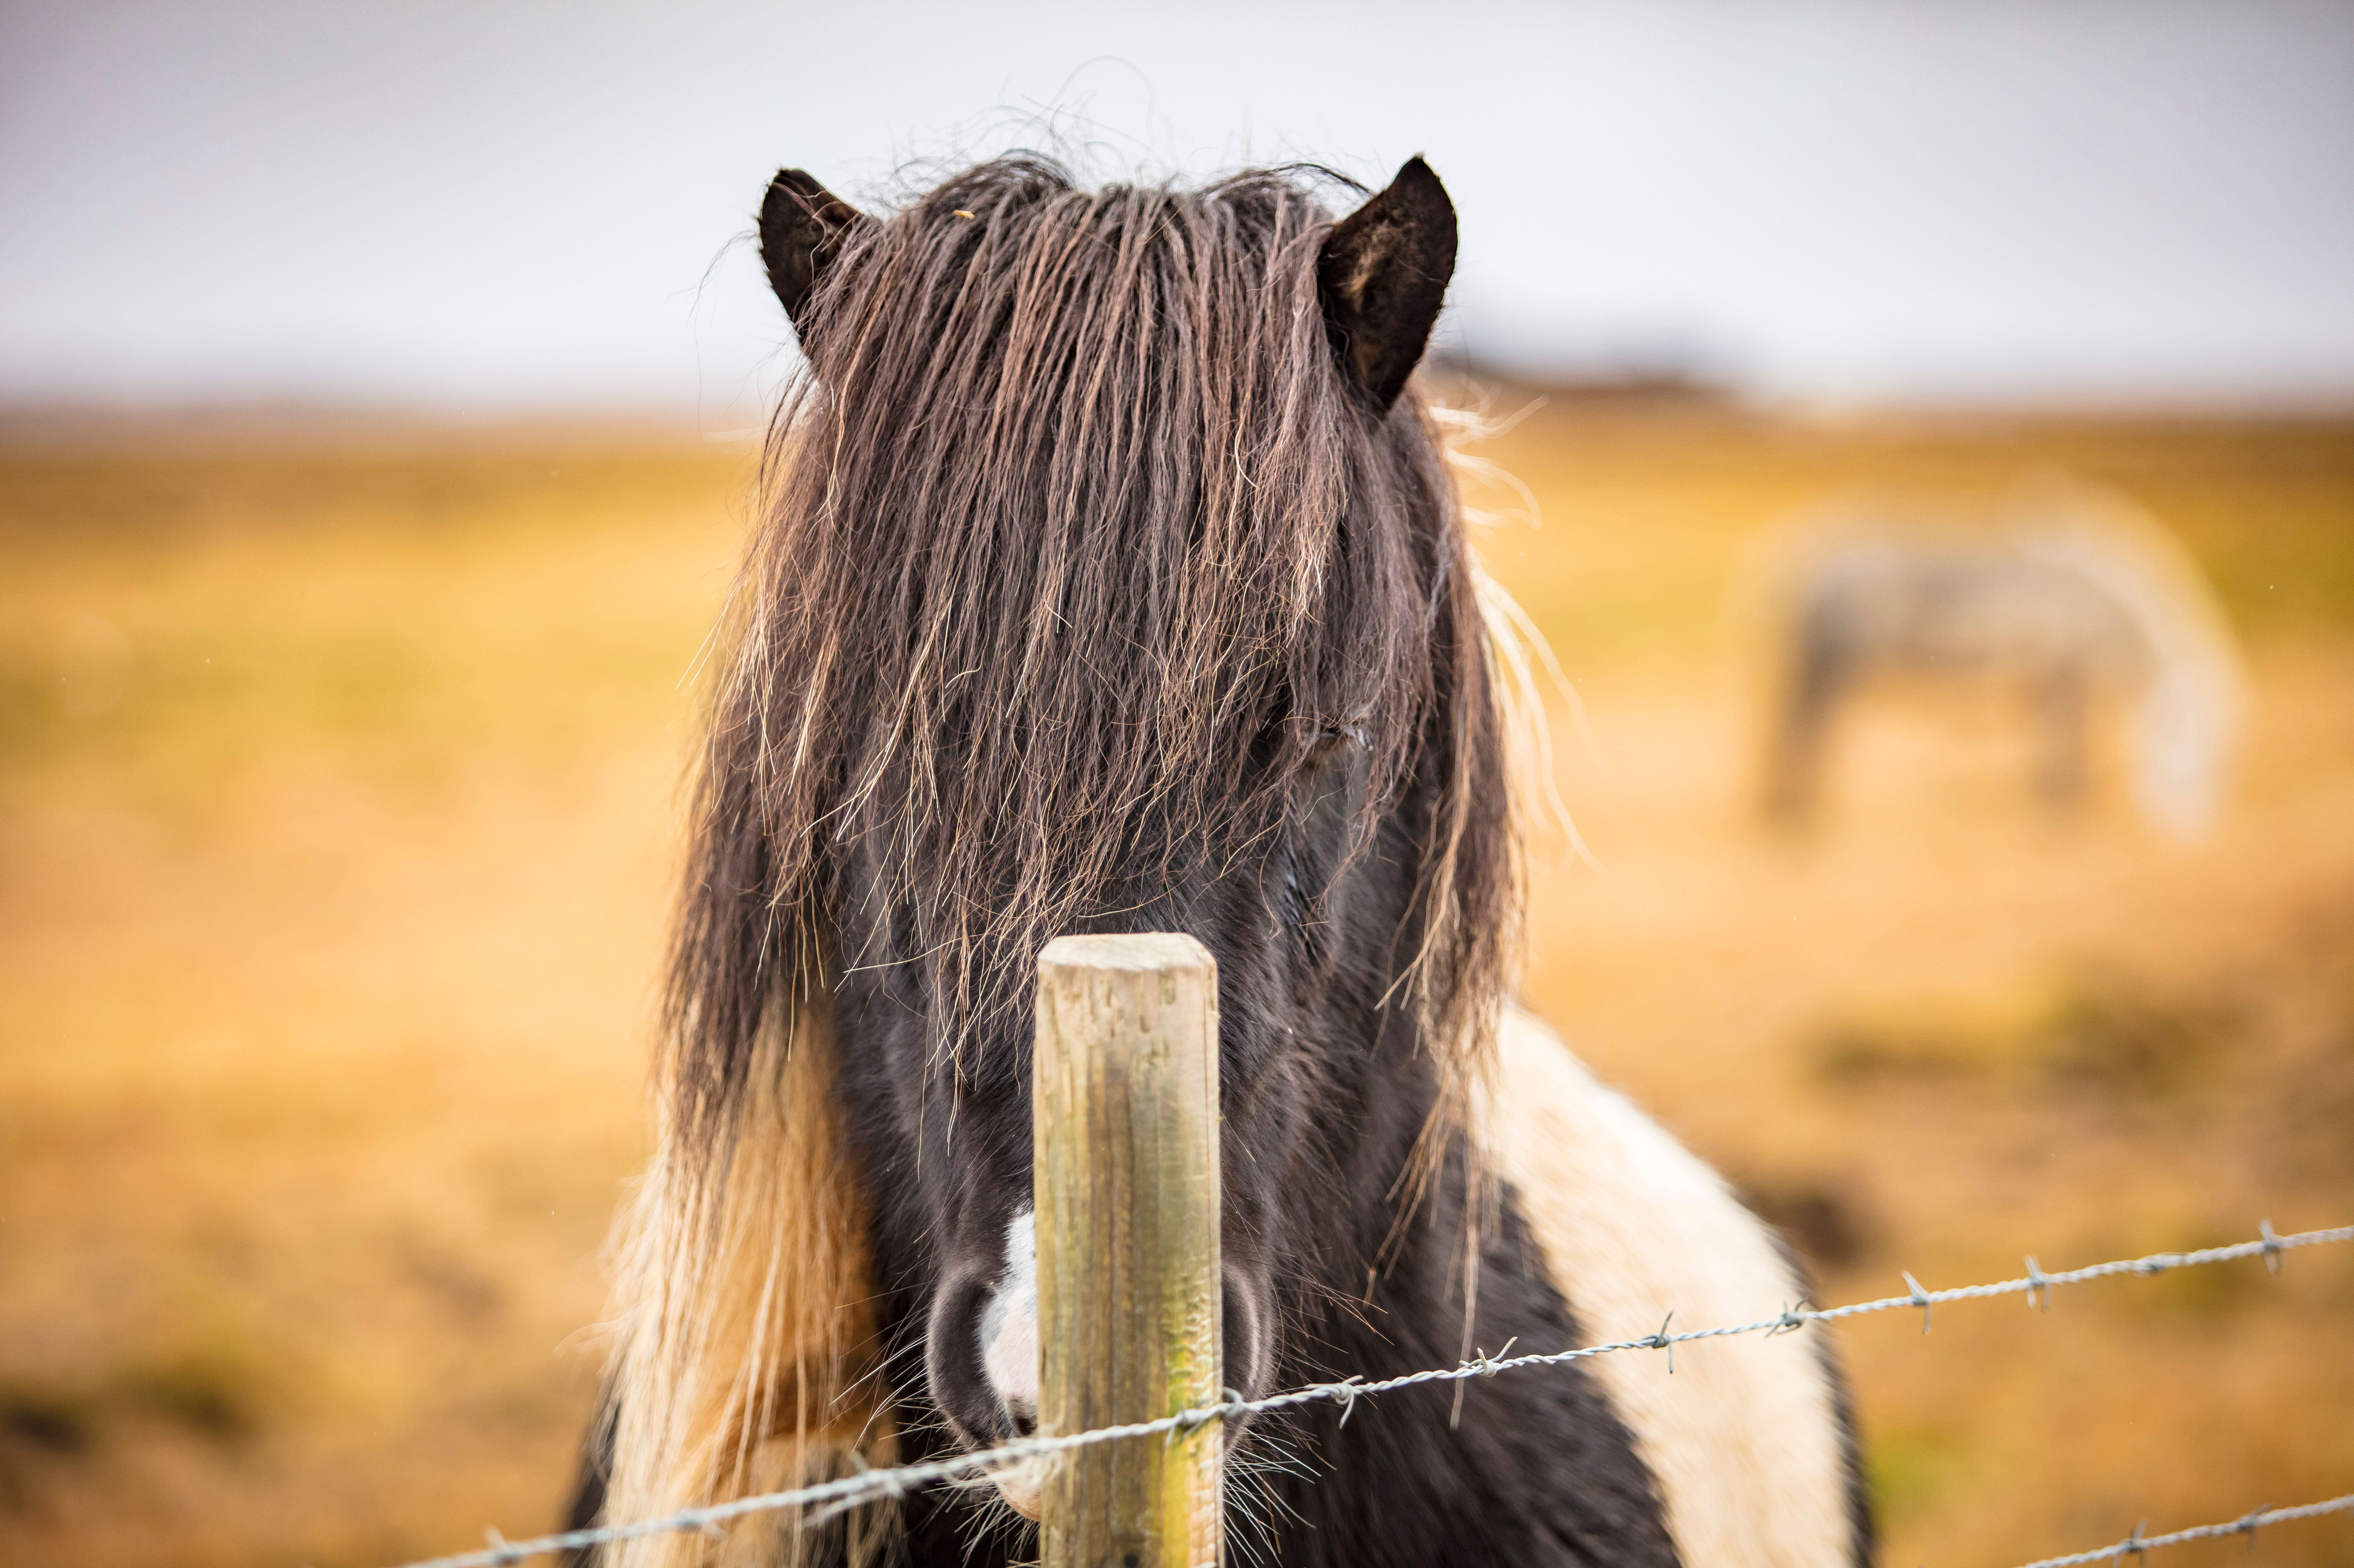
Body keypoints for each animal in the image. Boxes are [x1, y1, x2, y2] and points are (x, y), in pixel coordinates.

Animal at [1761, 481, 2243, 837]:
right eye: (2200, 759)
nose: (2193, 840)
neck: (2105, 608)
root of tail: (1807, 548)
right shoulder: (2066, 677)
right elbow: (2068, 751)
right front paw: (2064, 815)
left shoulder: (2043, 685)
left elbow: (2049, 752)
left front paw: (2047, 805)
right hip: (1836, 667)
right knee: (1805, 732)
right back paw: (1803, 819)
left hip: (1820, 666)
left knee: (1796, 731)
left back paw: (1790, 813)